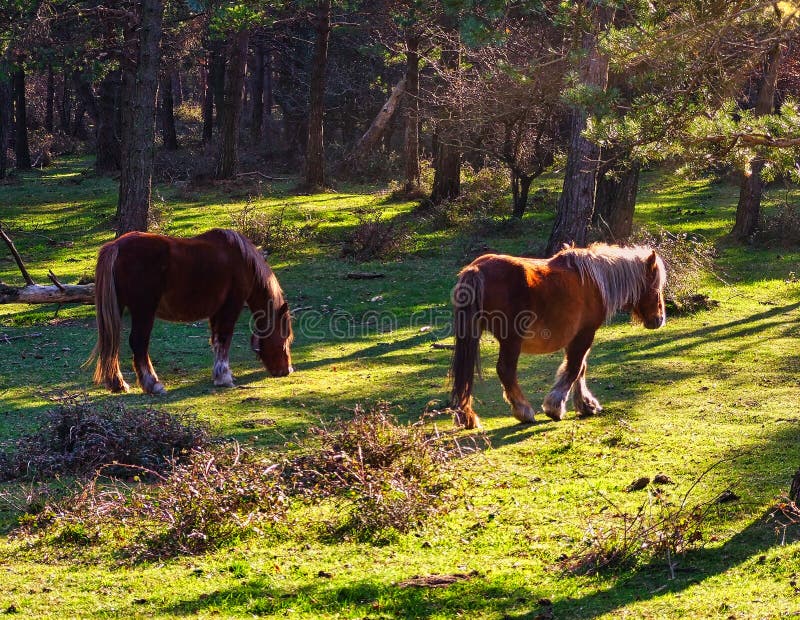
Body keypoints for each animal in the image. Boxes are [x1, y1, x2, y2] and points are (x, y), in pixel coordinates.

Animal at [85, 228, 293, 394]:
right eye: (285, 338)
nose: (287, 370)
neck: (242, 260)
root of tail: (116, 246)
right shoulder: (230, 306)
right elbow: (225, 339)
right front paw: (225, 377)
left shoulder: (216, 311)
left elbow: (216, 341)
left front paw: (218, 375)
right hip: (143, 310)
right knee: (138, 343)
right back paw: (153, 384)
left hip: (119, 308)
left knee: (112, 344)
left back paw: (117, 383)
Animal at [449, 243, 666, 429]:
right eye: (655, 287)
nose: (659, 319)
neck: (596, 282)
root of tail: (476, 269)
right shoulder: (585, 334)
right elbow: (575, 368)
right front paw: (555, 407)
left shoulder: (575, 337)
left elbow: (580, 368)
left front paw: (586, 405)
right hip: (511, 341)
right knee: (505, 370)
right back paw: (524, 411)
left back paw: (466, 417)